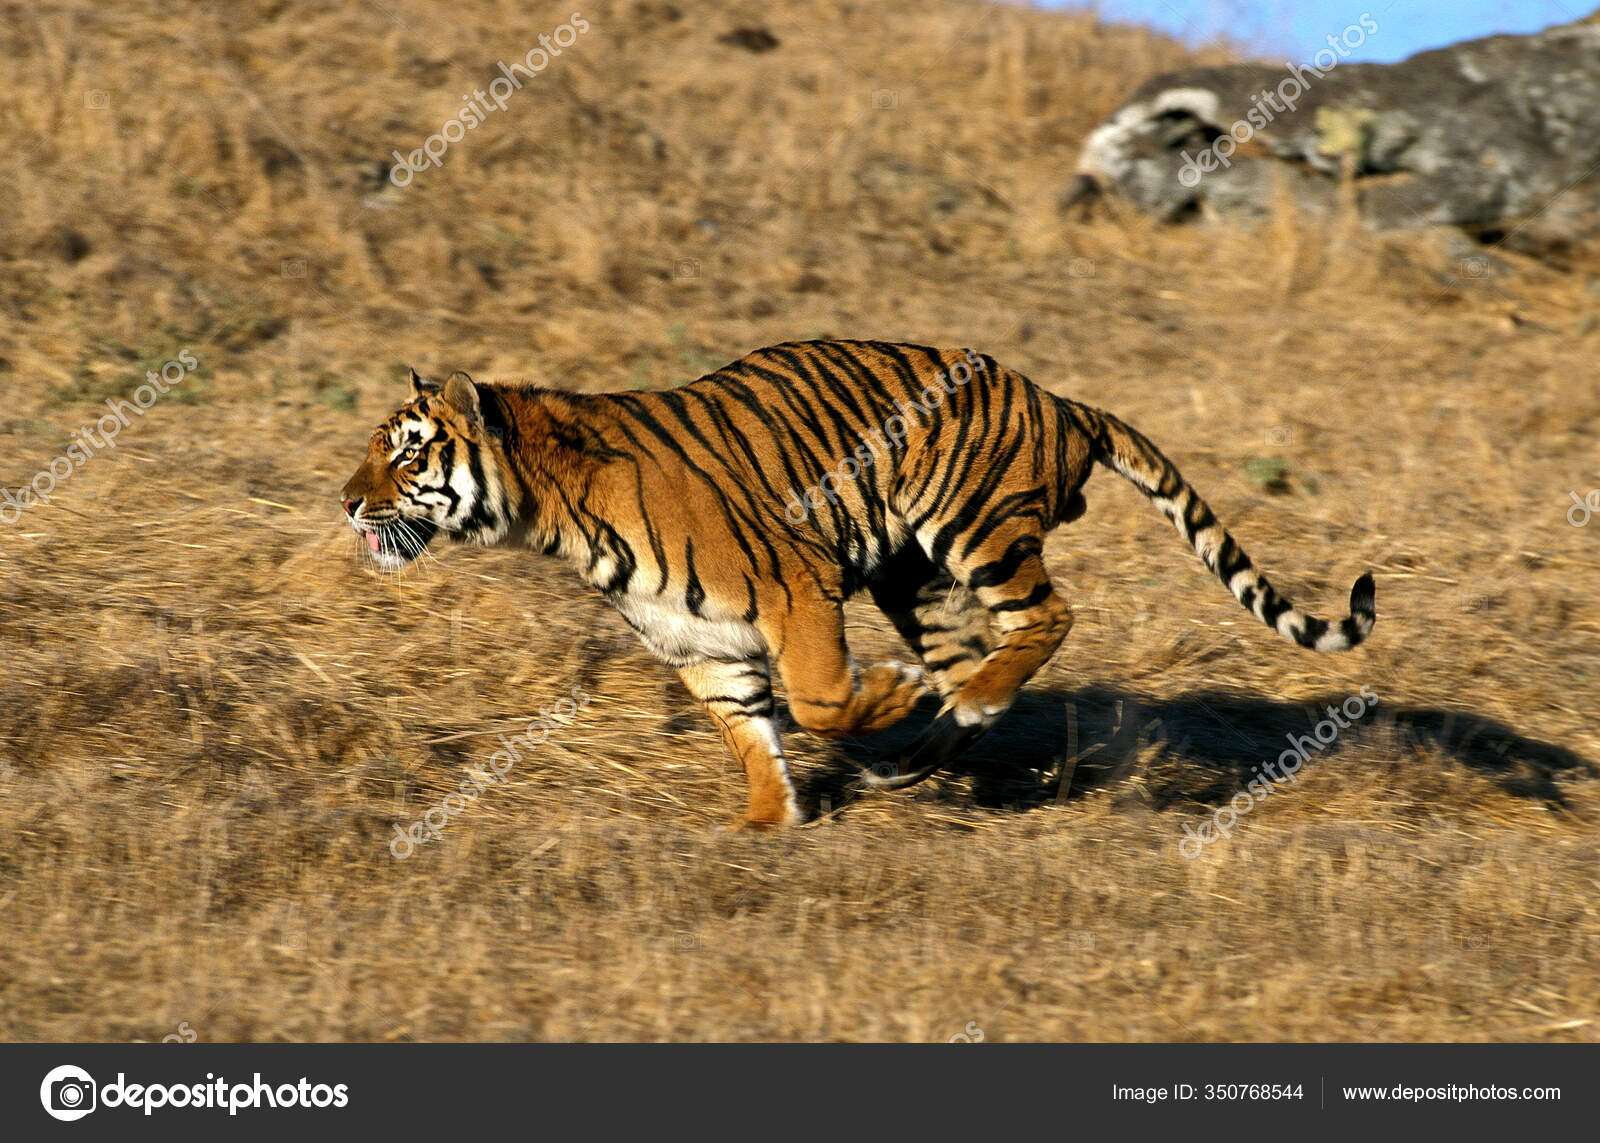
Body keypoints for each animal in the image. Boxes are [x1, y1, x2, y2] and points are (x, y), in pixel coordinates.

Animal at [339, 339, 1375, 828]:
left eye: (408, 452)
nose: (347, 502)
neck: (550, 512)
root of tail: (1058, 396)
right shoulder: (700, 647)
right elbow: (753, 736)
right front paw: (766, 821)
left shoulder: (795, 586)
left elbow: (819, 699)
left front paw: (879, 699)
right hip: (919, 579)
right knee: (981, 658)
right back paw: (931, 748)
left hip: (975, 526)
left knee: (1048, 615)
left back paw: (942, 710)